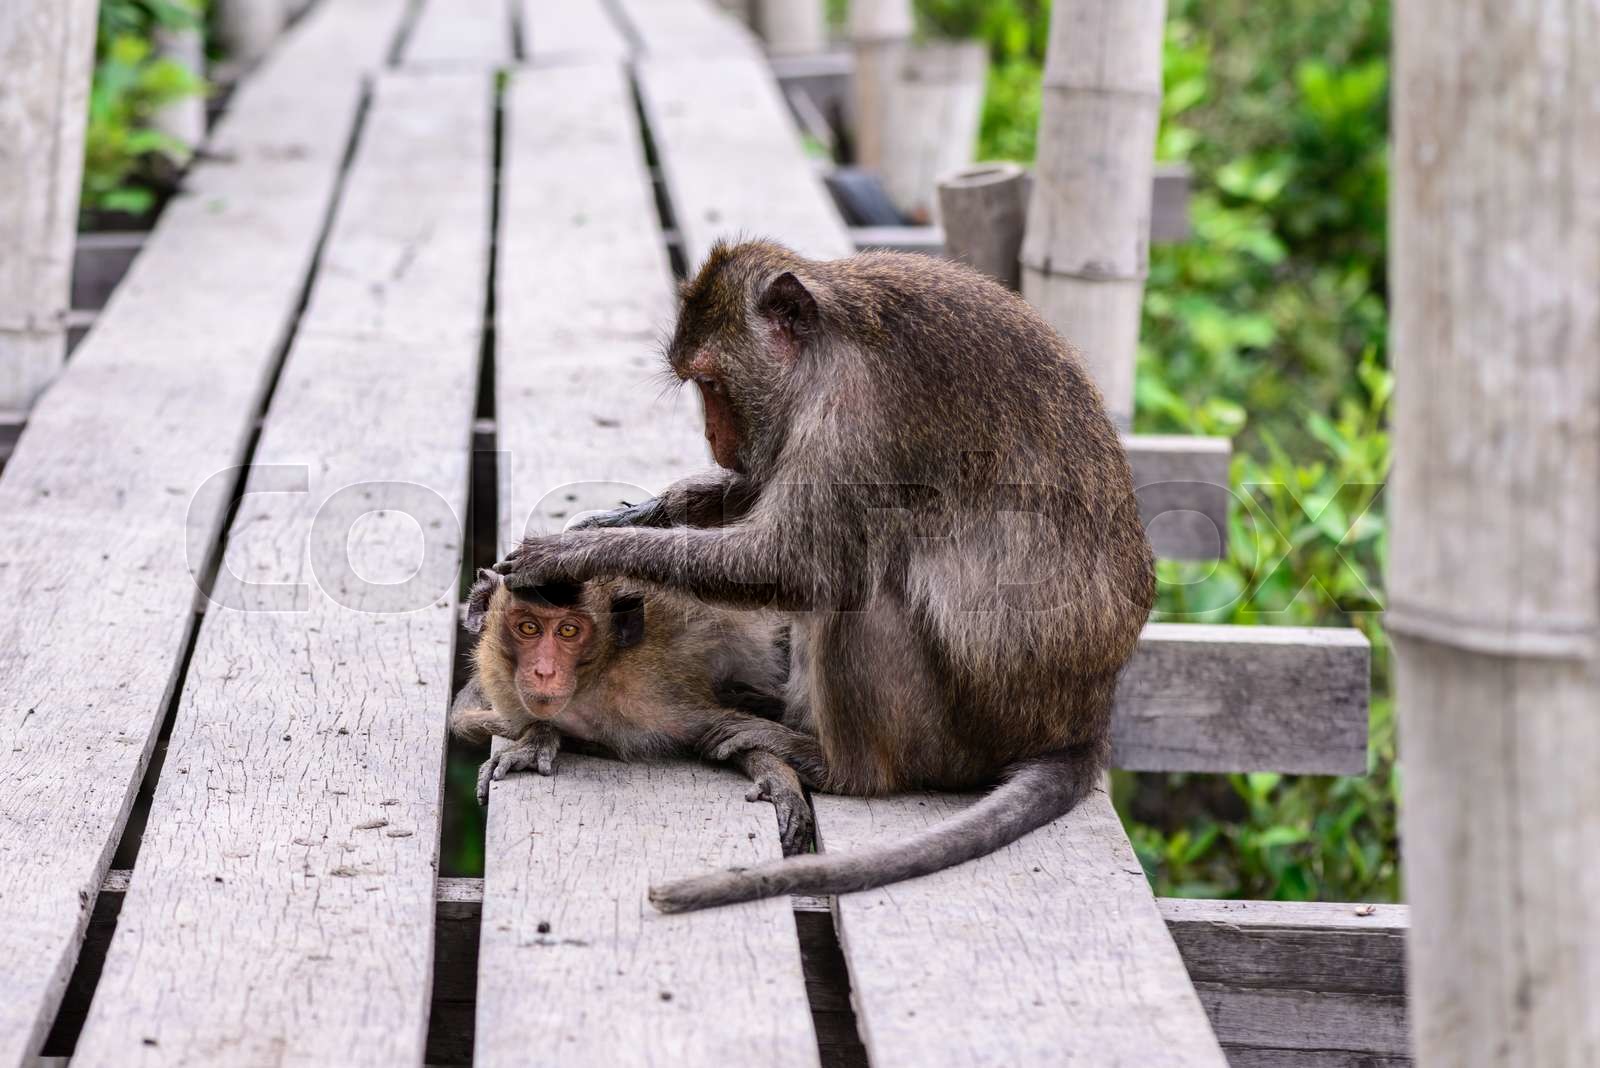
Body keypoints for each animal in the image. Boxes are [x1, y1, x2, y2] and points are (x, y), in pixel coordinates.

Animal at [449, 568, 822, 852]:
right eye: (528, 627)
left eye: (568, 630)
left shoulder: (655, 698)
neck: (594, 680)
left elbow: (724, 736)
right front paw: (535, 740)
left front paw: (779, 782)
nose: (544, 671)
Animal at [495, 240, 1156, 912]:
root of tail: (1082, 724)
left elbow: (791, 563)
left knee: (857, 590)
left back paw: (835, 766)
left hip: (963, 735)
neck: (829, 342)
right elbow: (760, 493)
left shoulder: (856, 417)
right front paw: (630, 514)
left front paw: (579, 553)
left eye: (710, 382)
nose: (713, 437)